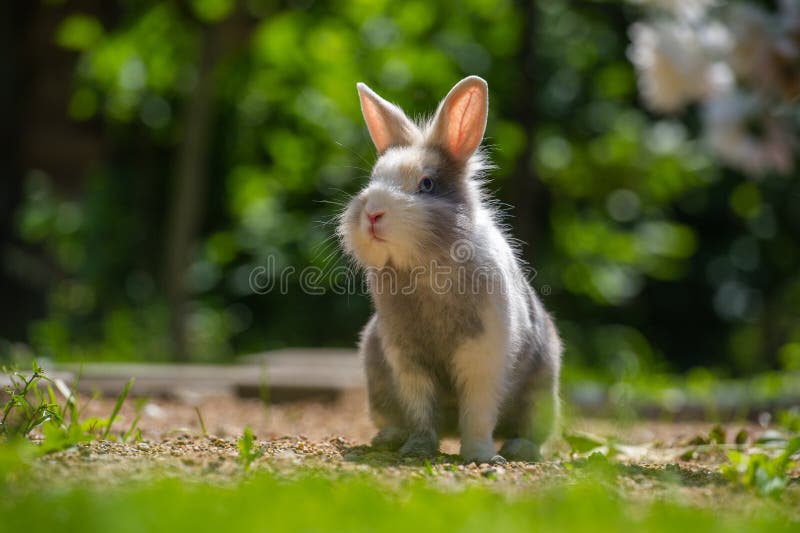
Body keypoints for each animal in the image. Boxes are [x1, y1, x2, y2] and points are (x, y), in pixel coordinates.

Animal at [338, 76, 562, 463]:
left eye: (427, 184)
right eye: (372, 180)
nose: (373, 213)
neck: (425, 267)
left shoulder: (482, 356)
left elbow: (478, 413)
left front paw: (481, 457)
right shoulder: (407, 361)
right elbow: (420, 411)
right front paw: (416, 449)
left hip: (542, 390)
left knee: (529, 430)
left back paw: (518, 449)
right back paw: (389, 438)